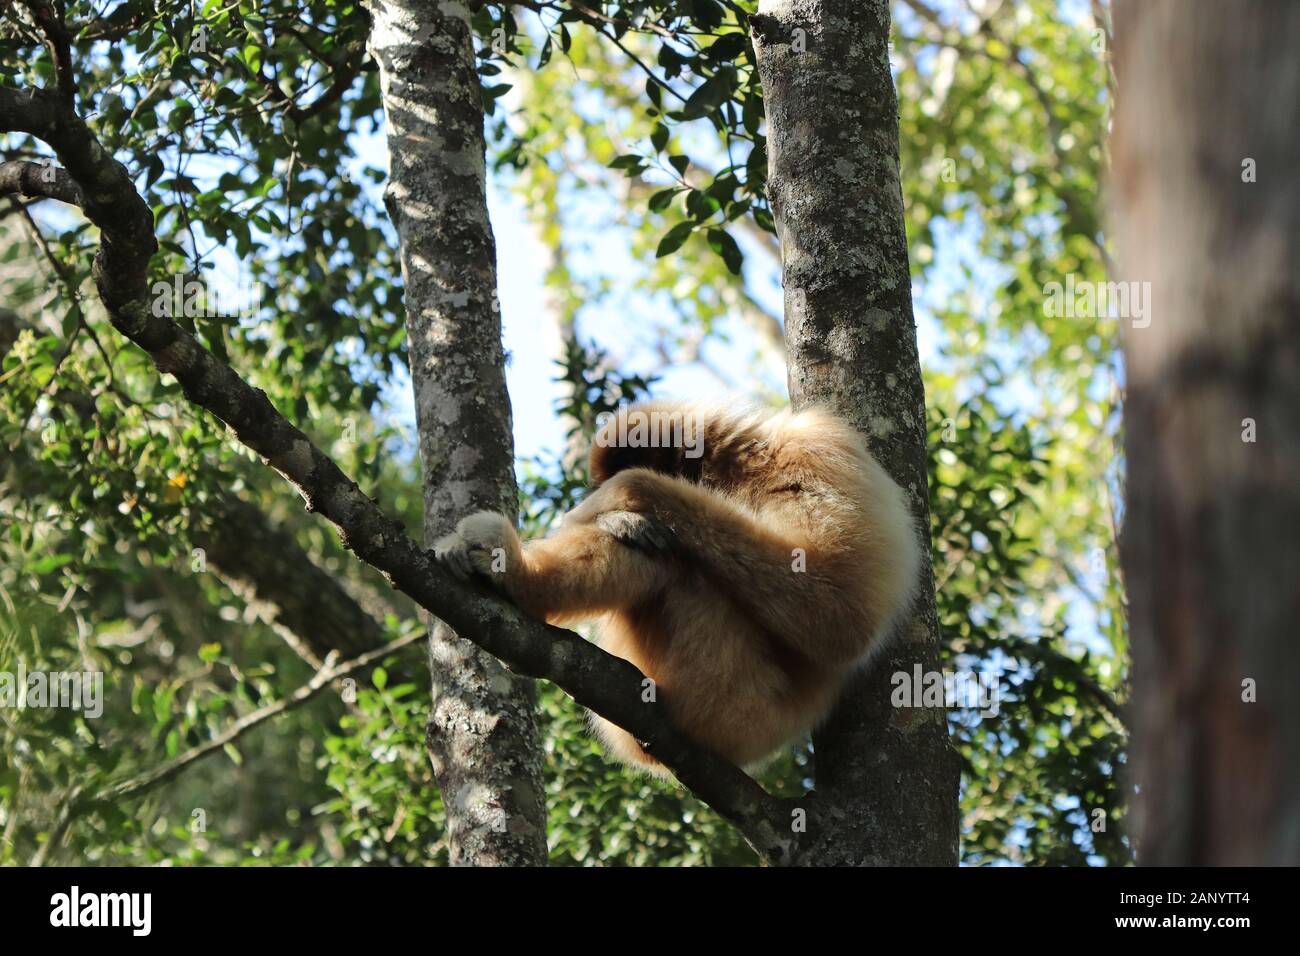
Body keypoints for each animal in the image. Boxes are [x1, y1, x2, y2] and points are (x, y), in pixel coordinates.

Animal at [433, 400, 921, 775]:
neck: (748, 469)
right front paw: (614, 516)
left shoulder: (820, 451)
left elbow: (842, 615)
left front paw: (616, 499)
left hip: (729, 702)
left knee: (675, 563)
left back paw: (521, 580)